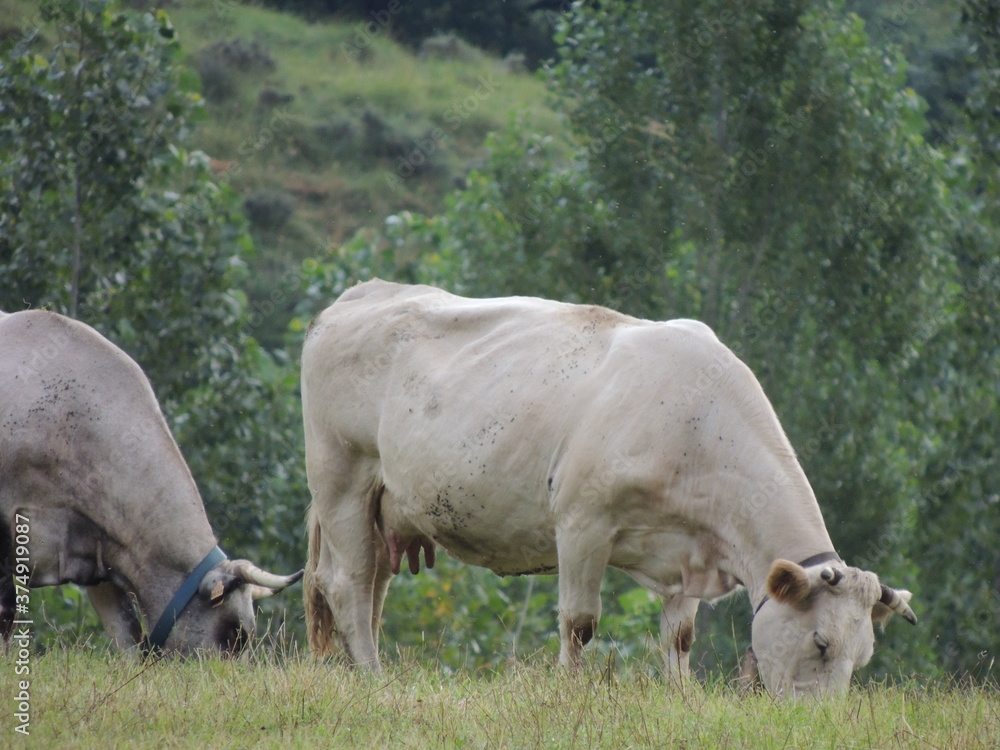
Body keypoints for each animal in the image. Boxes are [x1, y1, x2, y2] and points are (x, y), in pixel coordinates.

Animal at [301, 280, 916, 698]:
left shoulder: (690, 550)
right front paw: (568, 691)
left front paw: (680, 696)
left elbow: (680, 636)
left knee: (372, 586)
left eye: (863, 658)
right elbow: (580, 623)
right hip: (341, 476)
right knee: (347, 585)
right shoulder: (582, 521)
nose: (821, 721)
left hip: (387, 507)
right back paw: (373, 677)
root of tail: (363, 293)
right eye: (820, 643)